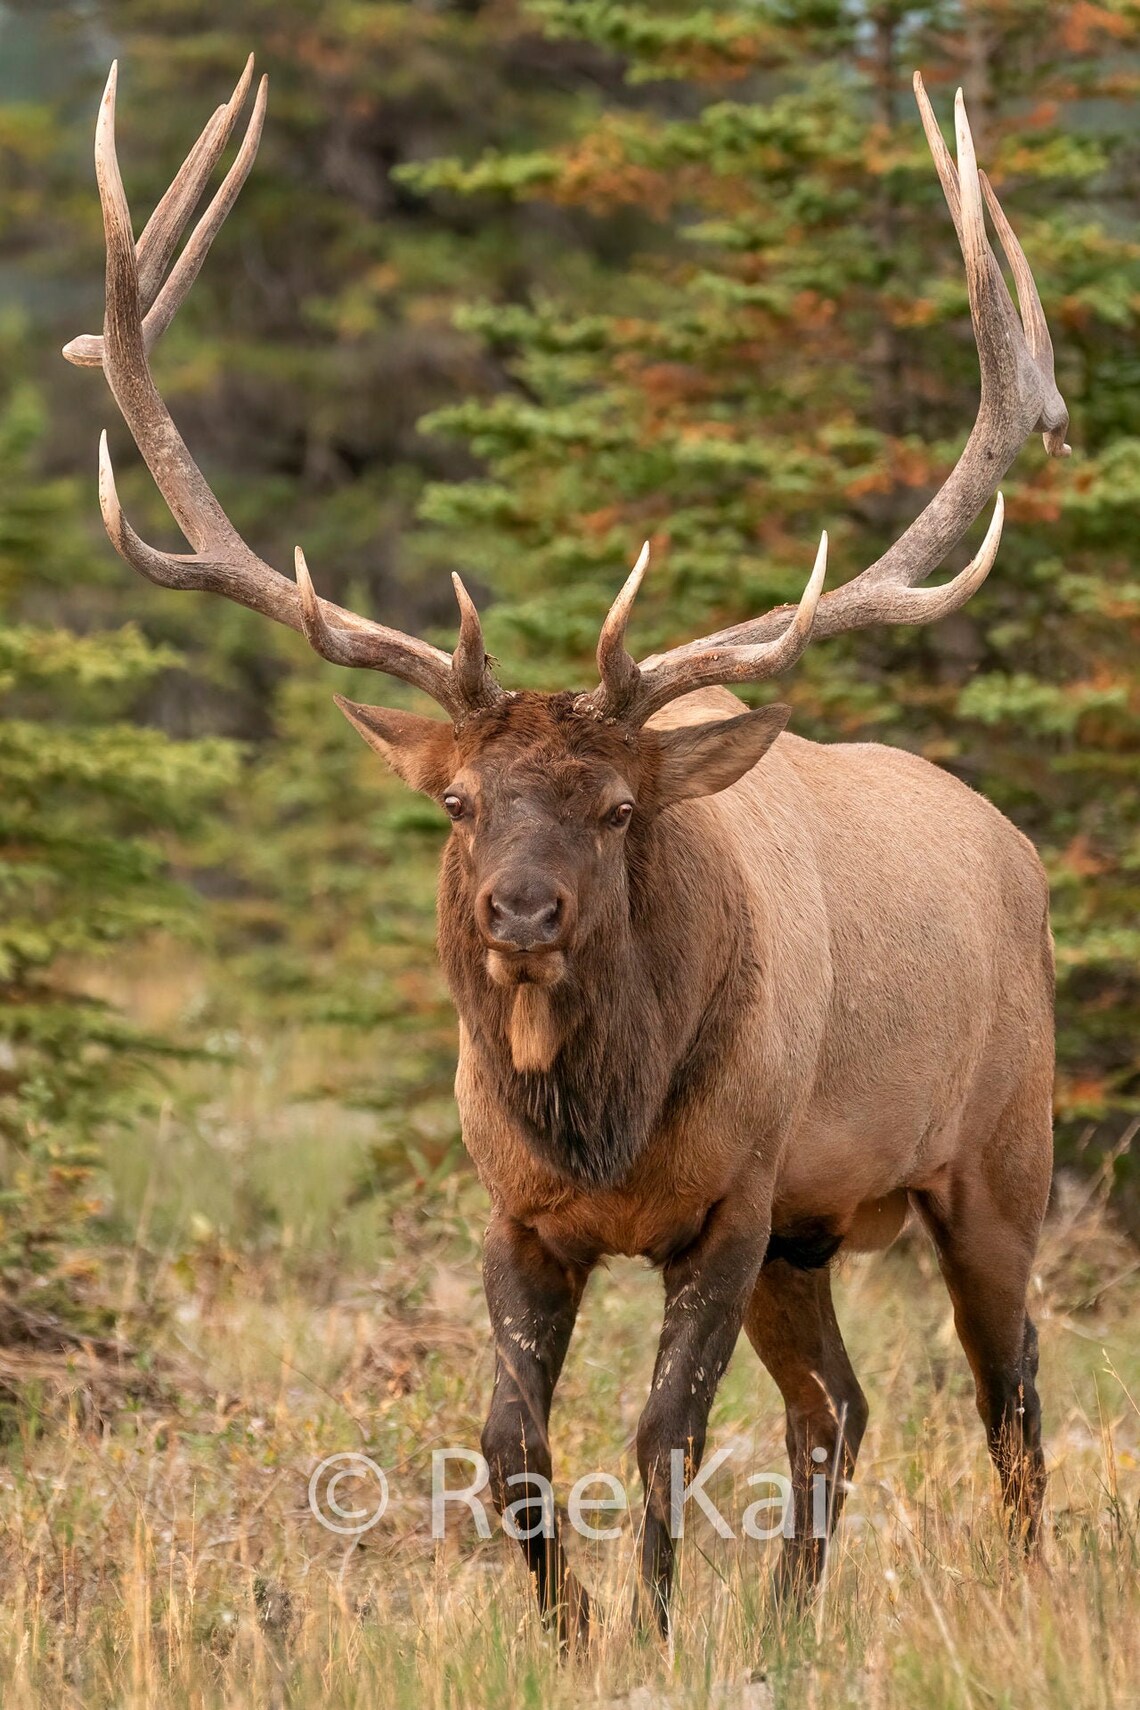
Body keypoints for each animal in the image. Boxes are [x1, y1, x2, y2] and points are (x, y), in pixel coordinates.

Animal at [65, 58, 1069, 1646]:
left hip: (994, 1160)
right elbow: (508, 1441)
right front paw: (568, 1622)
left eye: (615, 807)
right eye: (460, 801)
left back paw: (1017, 1589)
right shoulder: (522, 1212)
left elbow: (662, 1433)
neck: (602, 1122)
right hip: (814, 1231)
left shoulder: (731, 1200)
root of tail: (1016, 847)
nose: (521, 912)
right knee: (840, 1407)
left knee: (1011, 1386)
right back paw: (788, 1620)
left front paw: (649, 1629)